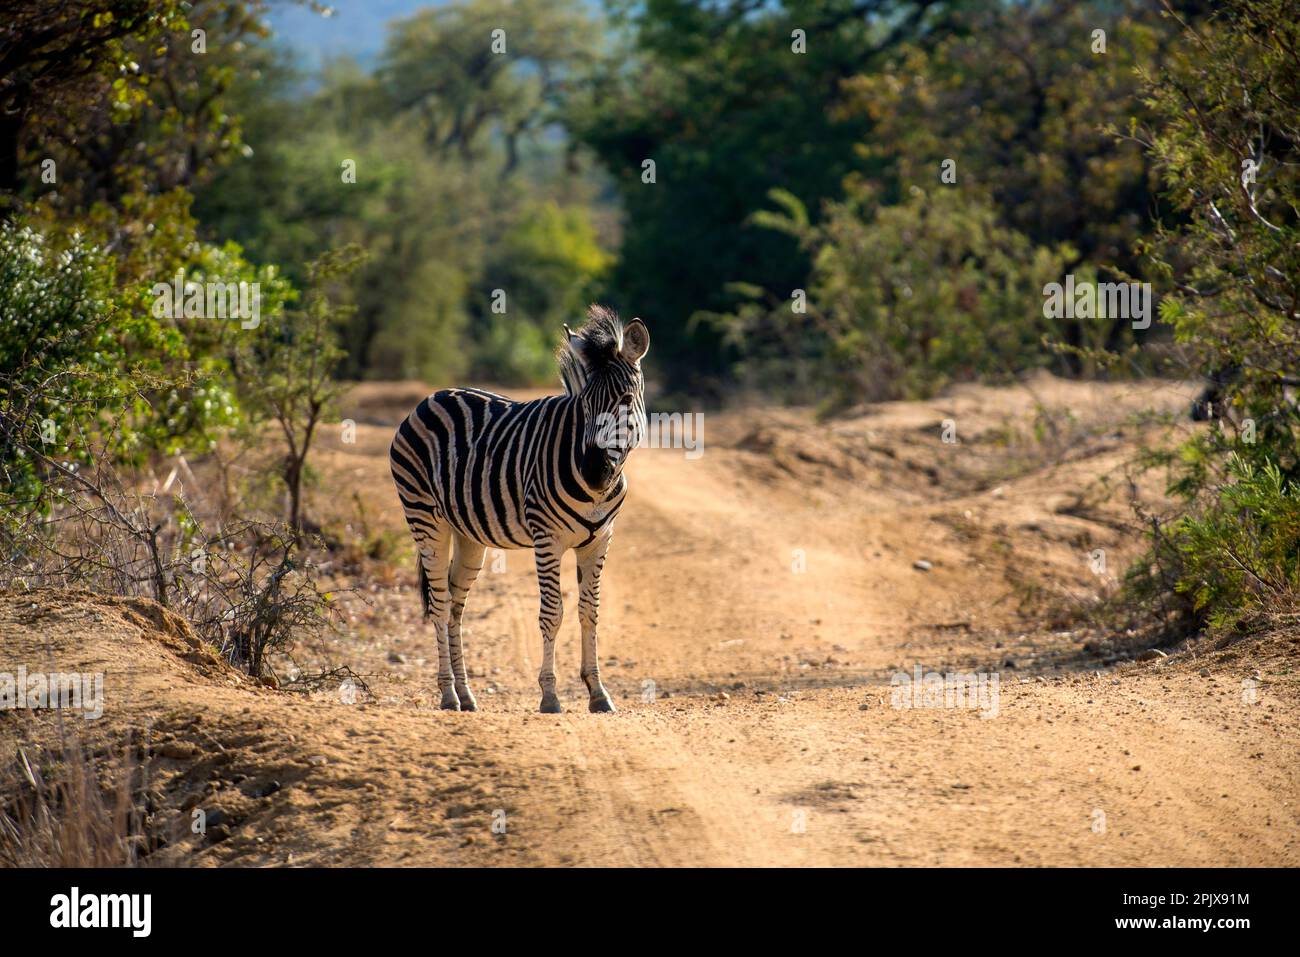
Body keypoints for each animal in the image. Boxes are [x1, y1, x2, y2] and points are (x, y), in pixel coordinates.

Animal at [389, 305, 649, 714]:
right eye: (585, 405)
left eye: (625, 398)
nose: (594, 471)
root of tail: (430, 397)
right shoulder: (547, 540)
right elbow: (553, 613)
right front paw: (550, 695)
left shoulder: (600, 541)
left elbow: (589, 611)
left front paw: (597, 692)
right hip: (425, 519)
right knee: (440, 603)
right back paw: (448, 694)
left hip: (468, 536)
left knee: (456, 605)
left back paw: (466, 694)